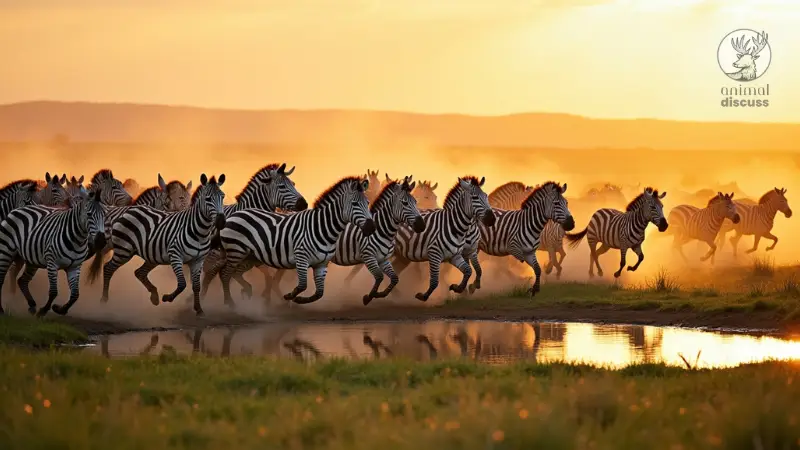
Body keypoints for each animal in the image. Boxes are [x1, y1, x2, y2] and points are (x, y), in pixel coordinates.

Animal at [0, 186, 106, 316]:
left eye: (105, 214)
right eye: (89, 214)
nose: (101, 241)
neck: (77, 239)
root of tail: (16, 210)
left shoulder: (75, 267)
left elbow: (75, 295)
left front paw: (60, 309)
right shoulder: (52, 264)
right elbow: (53, 292)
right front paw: (43, 311)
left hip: (31, 260)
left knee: (22, 280)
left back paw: (32, 305)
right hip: (6, 251)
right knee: (2, 279)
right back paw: (2, 310)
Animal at [91, 174, 227, 316]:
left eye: (223, 196)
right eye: (208, 198)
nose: (221, 221)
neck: (200, 232)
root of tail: (129, 210)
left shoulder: (198, 261)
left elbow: (196, 286)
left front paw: (199, 309)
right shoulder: (175, 256)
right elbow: (182, 284)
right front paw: (167, 298)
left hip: (152, 255)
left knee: (139, 272)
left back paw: (154, 296)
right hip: (124, 251)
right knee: (108, 268)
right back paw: (104, 300)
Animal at [217, 176, 375, 305]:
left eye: (367, 202)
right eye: (354, 204)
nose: (371, 227)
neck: (322, 227)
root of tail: (236, 213)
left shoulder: (322, 264)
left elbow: (319, 293)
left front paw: (299, 299)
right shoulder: (301, 258)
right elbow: (303, 285)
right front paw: (289, 296)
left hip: (250, 256)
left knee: (236, 273)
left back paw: (247, 292)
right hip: (236, 251)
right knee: (225, 274)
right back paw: (230, 303)